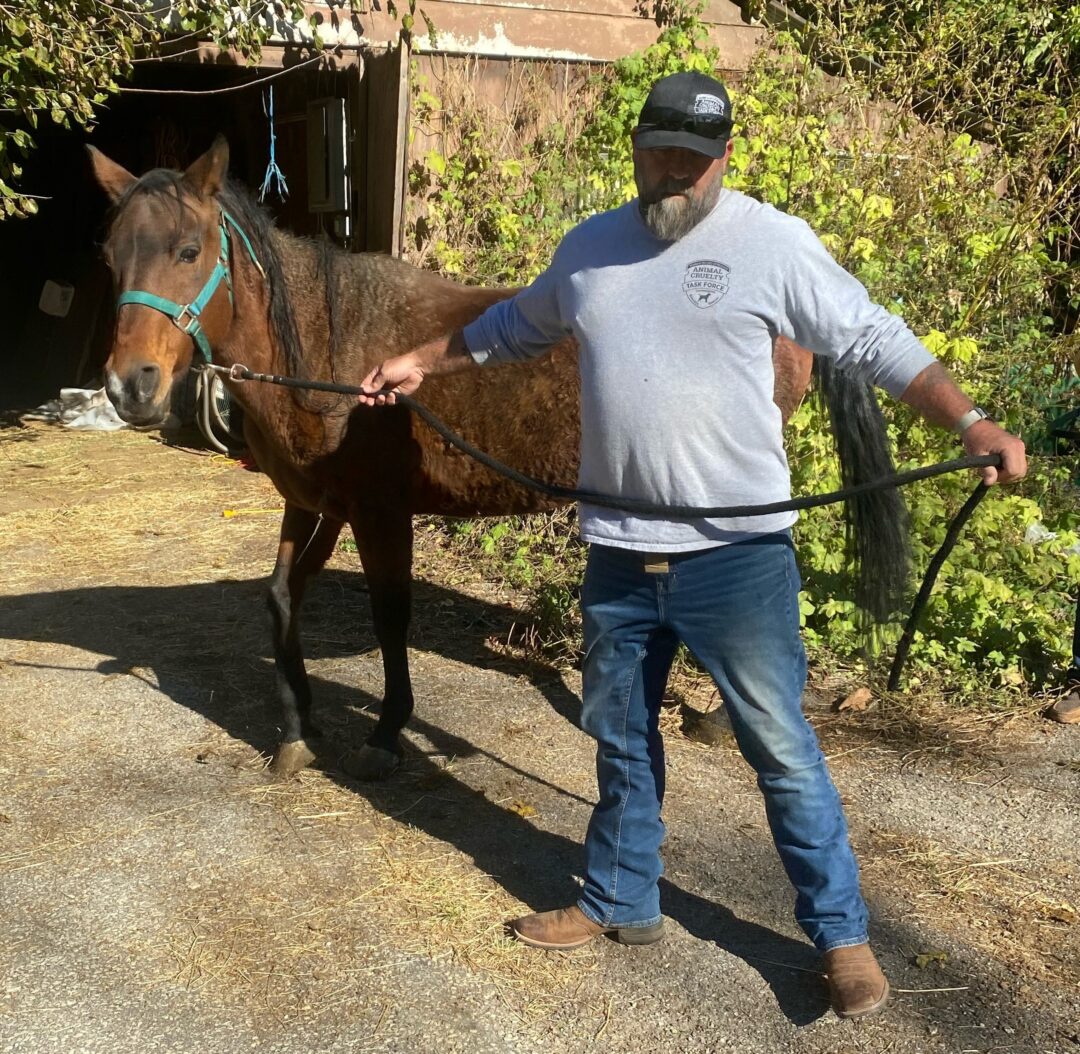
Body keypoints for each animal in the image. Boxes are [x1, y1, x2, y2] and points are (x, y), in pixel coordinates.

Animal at [87, 136, 908, 780]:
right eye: (110, 255)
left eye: (189, 251)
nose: (131, 386)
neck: (328, 350)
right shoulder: (314, 505)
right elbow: (283, 599)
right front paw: (296, 728)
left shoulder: (380, 514)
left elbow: (390, 616)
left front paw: (385, 734)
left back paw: (710, 712)